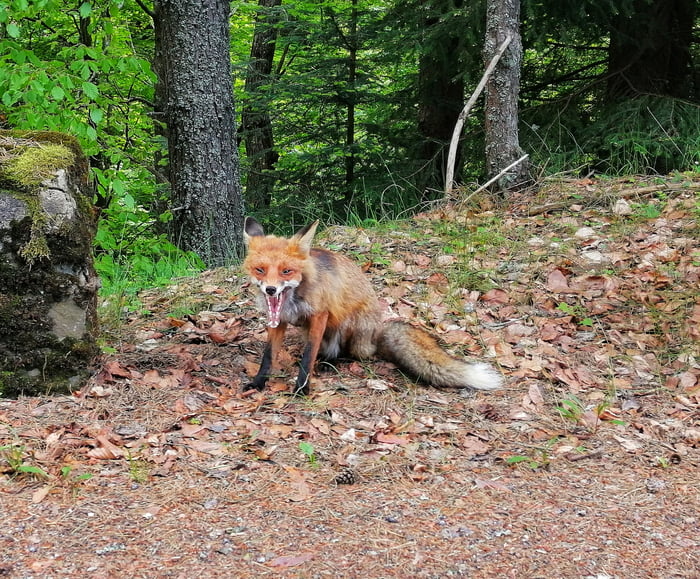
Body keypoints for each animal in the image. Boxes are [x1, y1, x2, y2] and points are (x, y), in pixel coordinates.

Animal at [242, 217, 503, 396]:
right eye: (260, 270)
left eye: (286, 271)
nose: (270, 290)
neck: (292, 300)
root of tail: (377, 333)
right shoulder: (279, 320)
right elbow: (268, 356)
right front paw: (258, 383)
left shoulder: (320, 315)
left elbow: (309, 356)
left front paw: (302, 388)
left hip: (347, 325)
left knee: (350, 353)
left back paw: (330, 362)